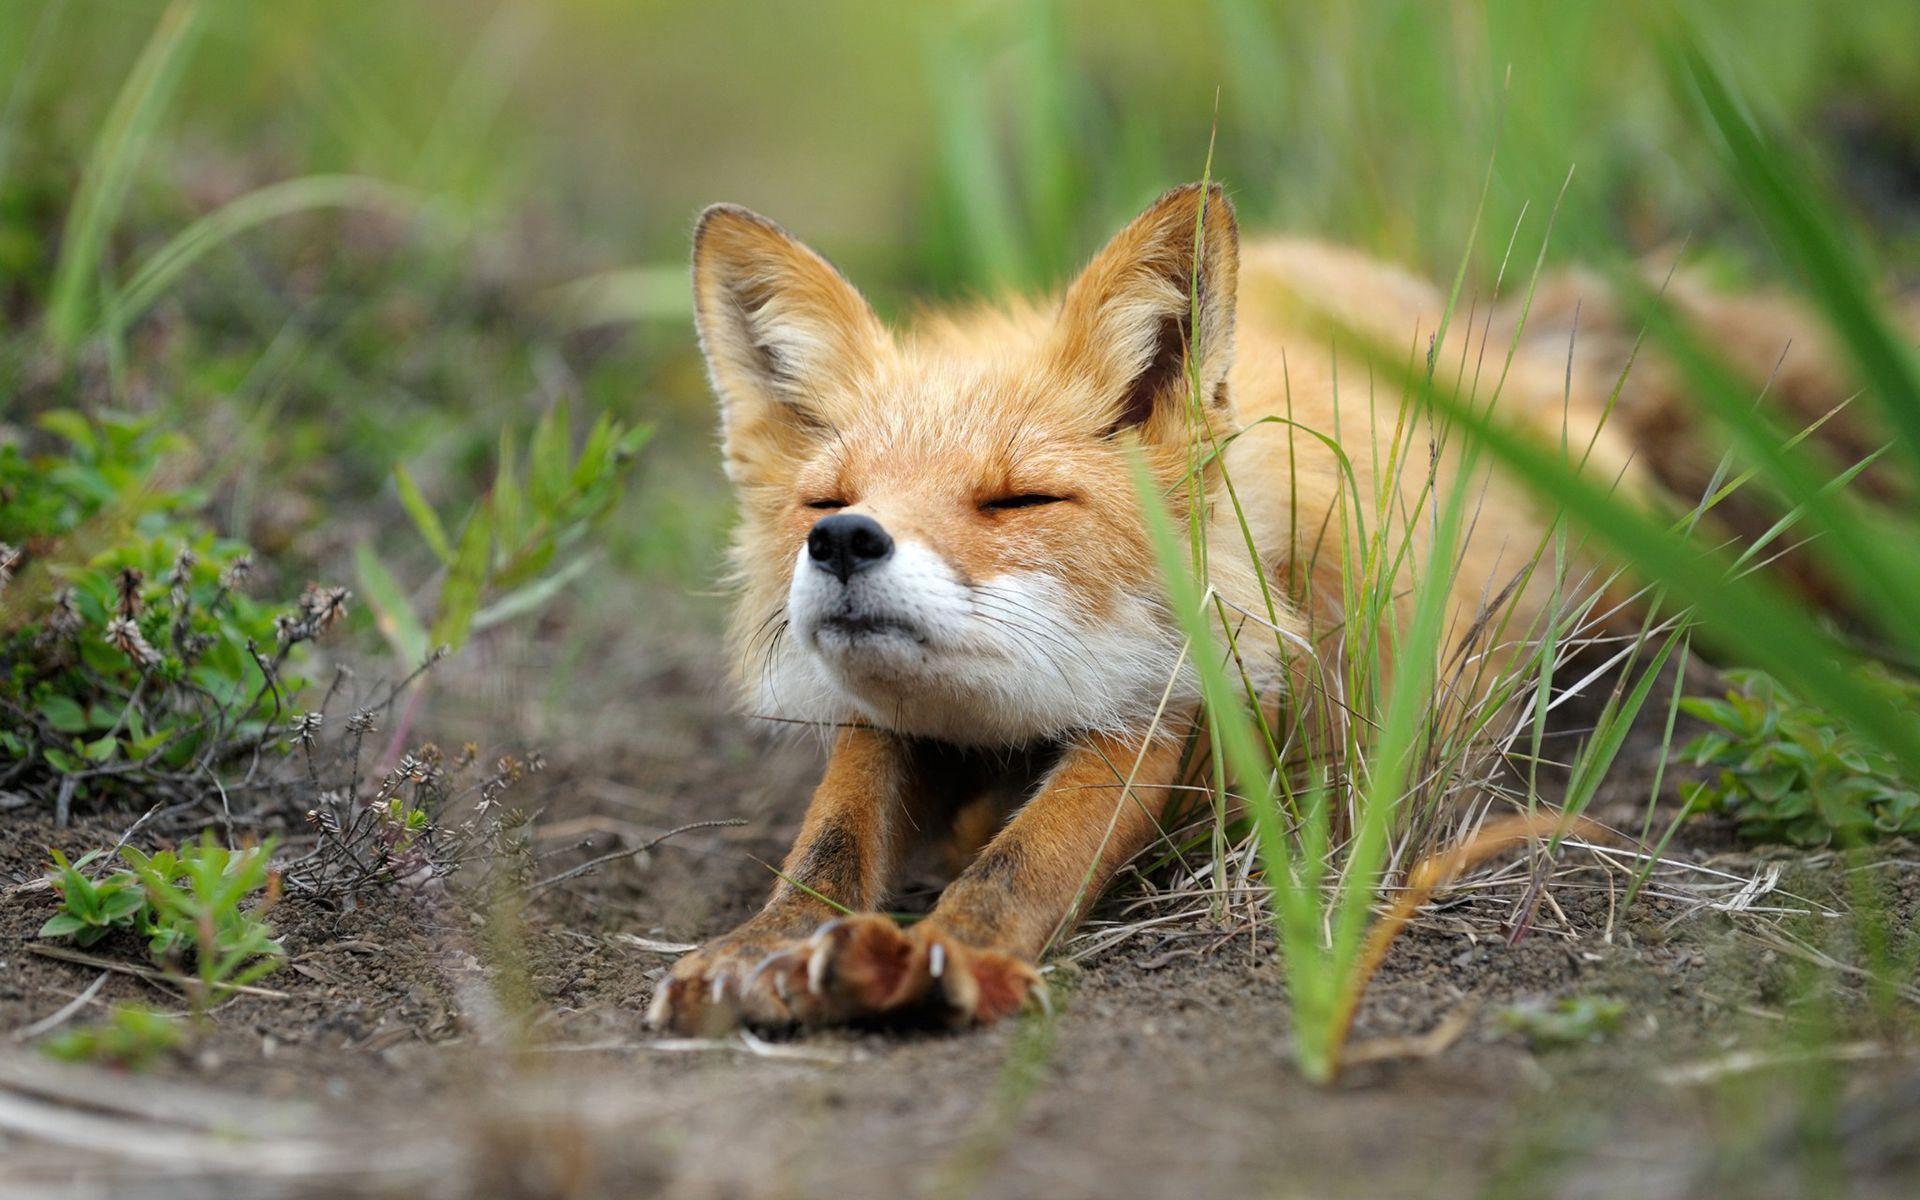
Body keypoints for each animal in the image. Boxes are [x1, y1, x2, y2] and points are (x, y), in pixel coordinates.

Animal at [647, 182, 1864, 1036]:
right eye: (828, 501)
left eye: (1017, 498)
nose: (845, 543)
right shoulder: (891, 721)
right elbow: (833, 837)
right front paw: (764, 945)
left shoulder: (1190, 697)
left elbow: (1037, 847)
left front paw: (952, 952)